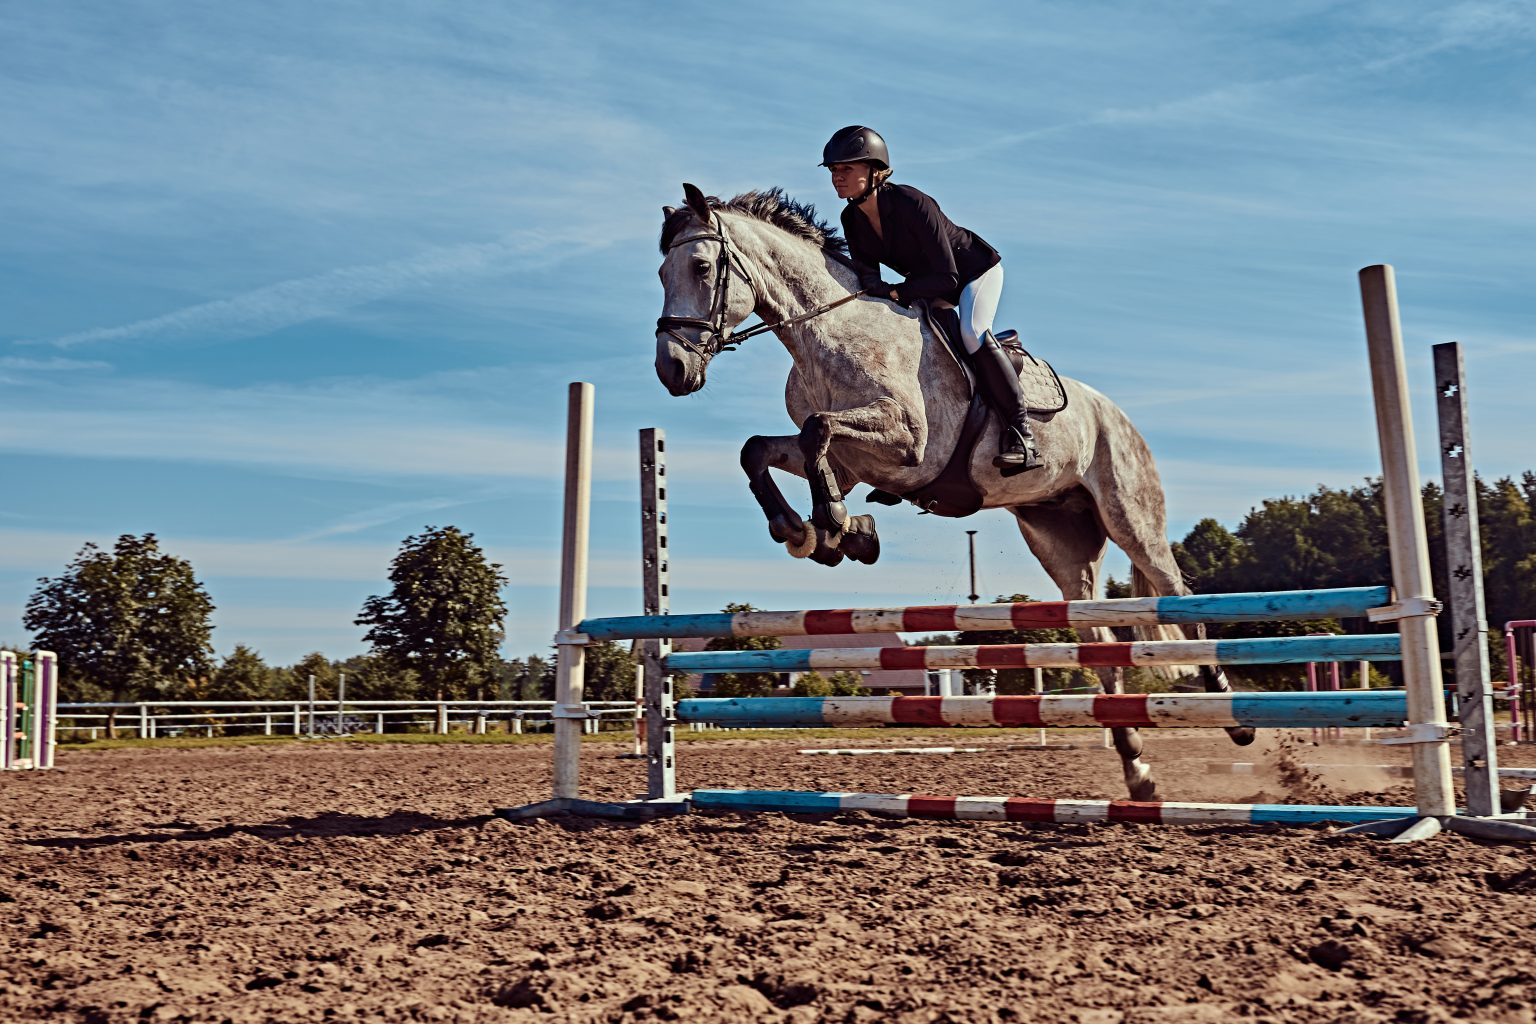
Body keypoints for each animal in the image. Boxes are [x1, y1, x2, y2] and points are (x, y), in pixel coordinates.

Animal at [652, 183, 1252, 800]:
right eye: (661, 272)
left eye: (702, 267)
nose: (671, 370)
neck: (830, 336)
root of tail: (1117, 415)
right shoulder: (847, 462)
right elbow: (763, 449)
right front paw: (815, 532)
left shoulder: (909, 442)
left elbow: (819, 429)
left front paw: (834, 524)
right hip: (1059, 540)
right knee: (1100, 638)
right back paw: (1138, 772)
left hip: (1131, 518)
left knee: (1179, 598)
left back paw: (1233, 718)